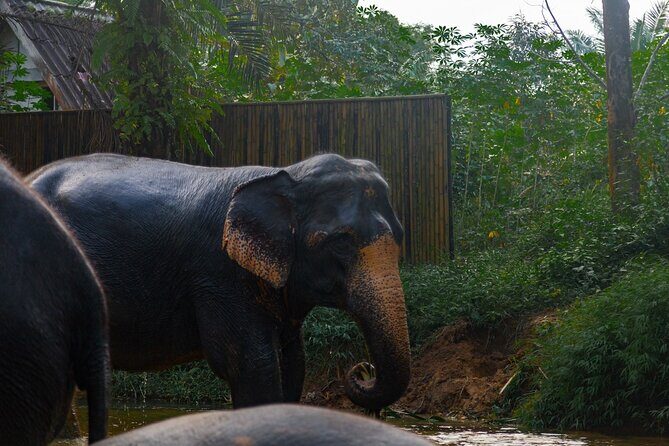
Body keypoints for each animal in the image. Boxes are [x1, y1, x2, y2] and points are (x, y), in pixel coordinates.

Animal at [29, 153, 410, 410]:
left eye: (400, 237)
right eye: (341, 242)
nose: (362, 370)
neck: (286, 174)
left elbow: (293, 363)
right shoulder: (219, 275)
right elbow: (251, 365)